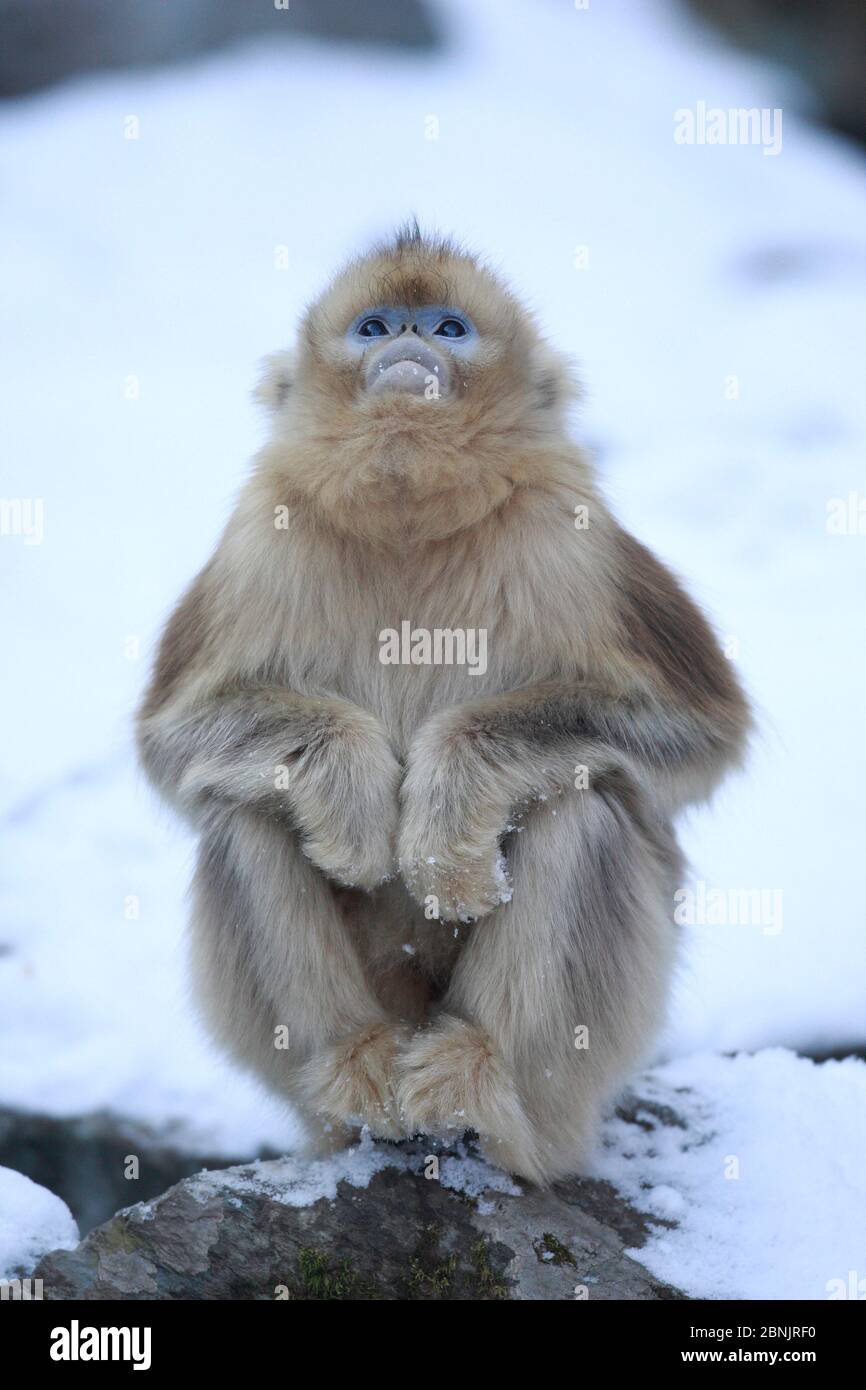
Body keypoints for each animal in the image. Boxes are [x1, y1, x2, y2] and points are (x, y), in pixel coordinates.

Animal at [137, 225, 751, 1184]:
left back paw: (474, 1082)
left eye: (450, 328)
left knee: (584, 807)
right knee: (242, 813)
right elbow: (169, 742)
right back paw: (354, 1073)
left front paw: (445, 815)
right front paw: (354, 792)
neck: (407, 508)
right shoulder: (258, 536)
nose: (407, 343)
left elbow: (700, 733)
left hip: (571, 1089)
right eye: (375, 324)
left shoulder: (571, 531)